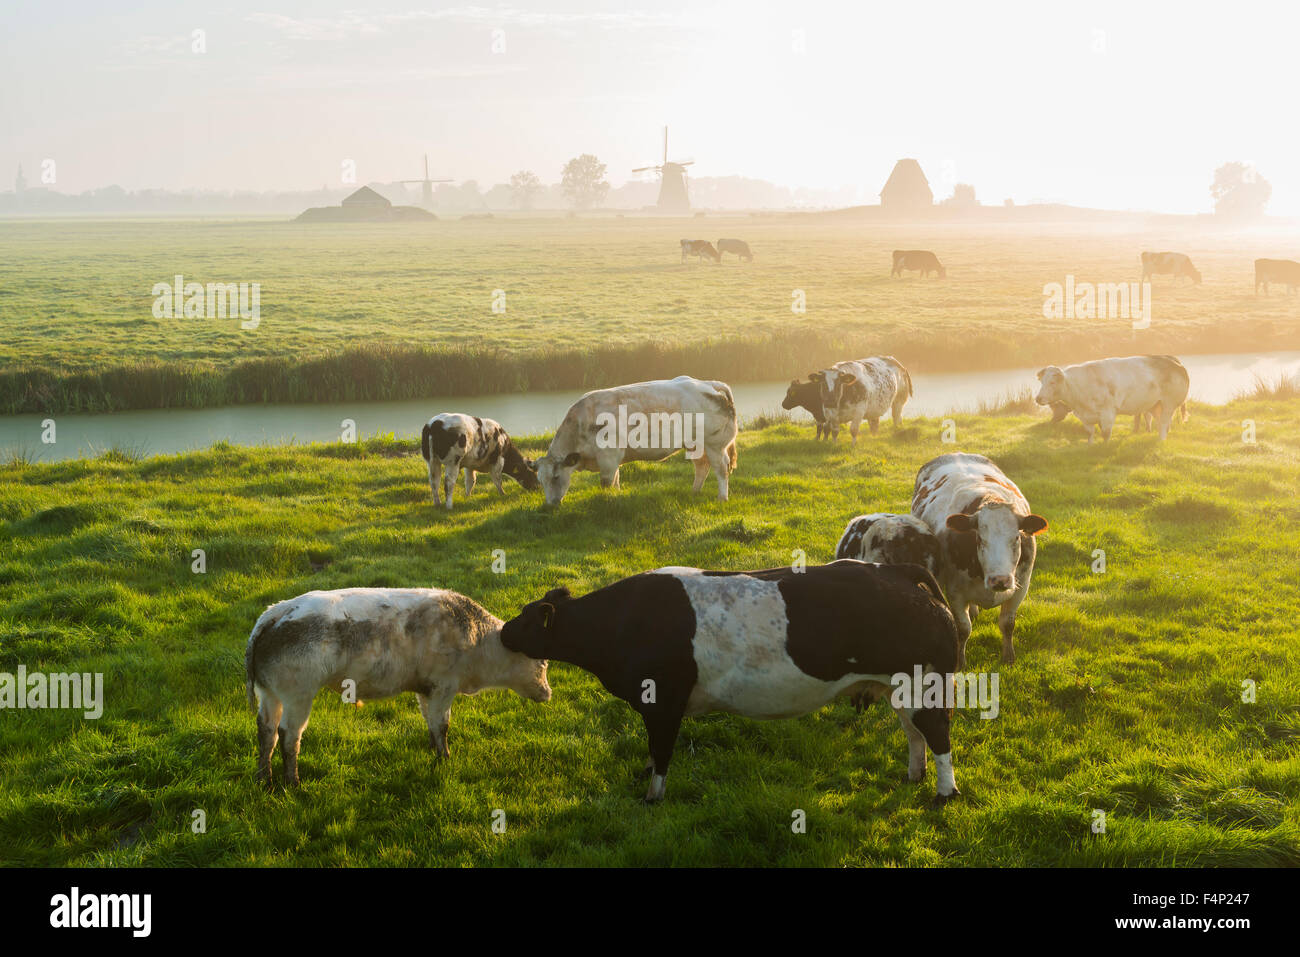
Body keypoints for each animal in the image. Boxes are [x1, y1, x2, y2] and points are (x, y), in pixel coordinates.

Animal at [244, 588, 551, 787]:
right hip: (298, 694)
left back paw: (263, 778)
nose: (548, 694)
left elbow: (430, 723)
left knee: (266, 731)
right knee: (288, 735)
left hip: (268, 693)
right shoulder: (443, 687)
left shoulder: (425, 689)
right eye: (542, 661)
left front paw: (434, 752)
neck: (478, 640)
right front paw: (445, 759)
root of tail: (275, 612)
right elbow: (442, 725)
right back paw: (292, 782)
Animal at [500, 561, 961, 805]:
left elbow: (662, 751)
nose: (503, 631)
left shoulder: (664, 701)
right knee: (913, 733)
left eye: (526, 619)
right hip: (901, 688)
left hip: (925, 686)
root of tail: (895, 570)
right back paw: (914, 776)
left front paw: (652, 797)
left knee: (937, 734)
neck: (622, 622)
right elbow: (652, 749)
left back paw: (944, 792)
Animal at [533, 375, 738, 505]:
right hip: (695, 444)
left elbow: (607, 482)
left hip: (714, 445)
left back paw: (722, 497)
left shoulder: (608, 456)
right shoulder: (613, 458)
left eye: (556, 477)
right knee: (702, 466)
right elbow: (616, 480)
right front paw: (616, 496)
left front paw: (606, 501)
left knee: (721, 468)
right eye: (540, 481)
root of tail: (707, 384)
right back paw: (695, 491)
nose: (550, 505)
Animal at [912, 453, 1048, 666]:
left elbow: (1007, 624)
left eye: (1017, 538)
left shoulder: (1021, 587)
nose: (1000, 580)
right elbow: (963, 628)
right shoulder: (956, 593)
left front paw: (1008, 656)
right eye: (979, 539)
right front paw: (960, 662)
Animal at [1033, 355, 1189, 442]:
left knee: (1163, 423)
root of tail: (1176, 364)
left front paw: (1104, 448)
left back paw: (1160, 441)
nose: (1038, 398)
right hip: (1155, 405)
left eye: (1052, 382)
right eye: (1042, 381)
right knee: (1160, 422)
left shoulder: (1108, 412)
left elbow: (1105, 433)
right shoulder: (1086, 417)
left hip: (1169, 404)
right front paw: (1090, 446)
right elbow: (1090, 433)